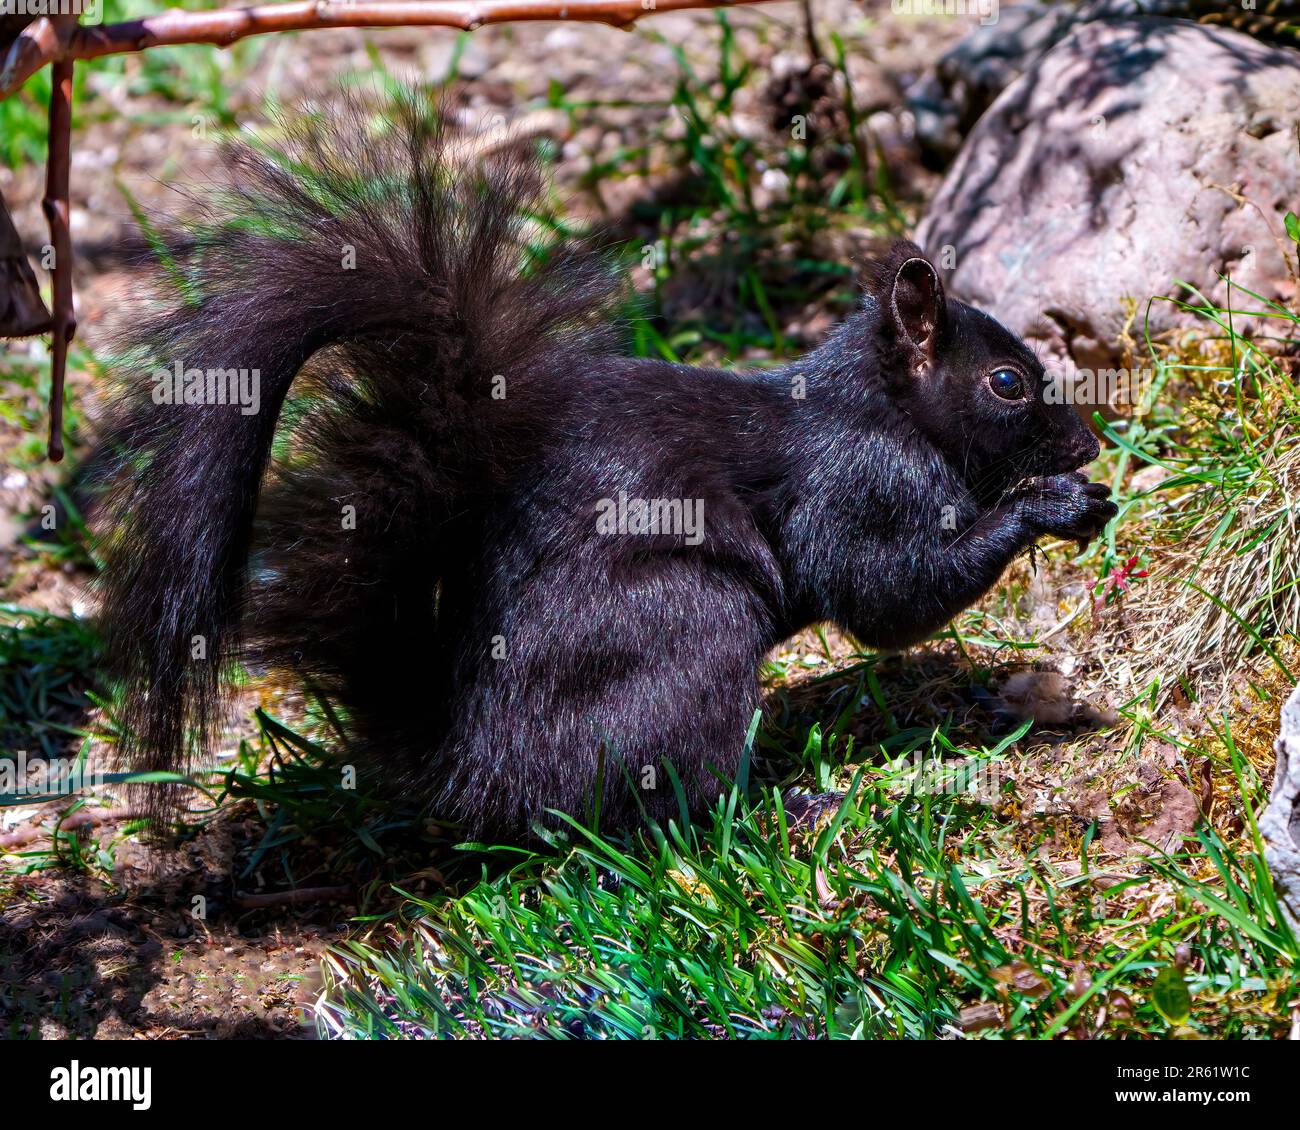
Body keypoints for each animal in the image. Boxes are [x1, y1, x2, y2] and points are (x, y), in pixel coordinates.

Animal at [94, 92, 1116, 839]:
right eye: (1007, 383)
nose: (1090, 446)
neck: (877, 405)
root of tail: (475, 766)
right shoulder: (861, 481)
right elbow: (885, 593)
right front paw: (1050, 505)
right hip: (685, 631)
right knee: (671, 809)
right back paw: (786, 806)